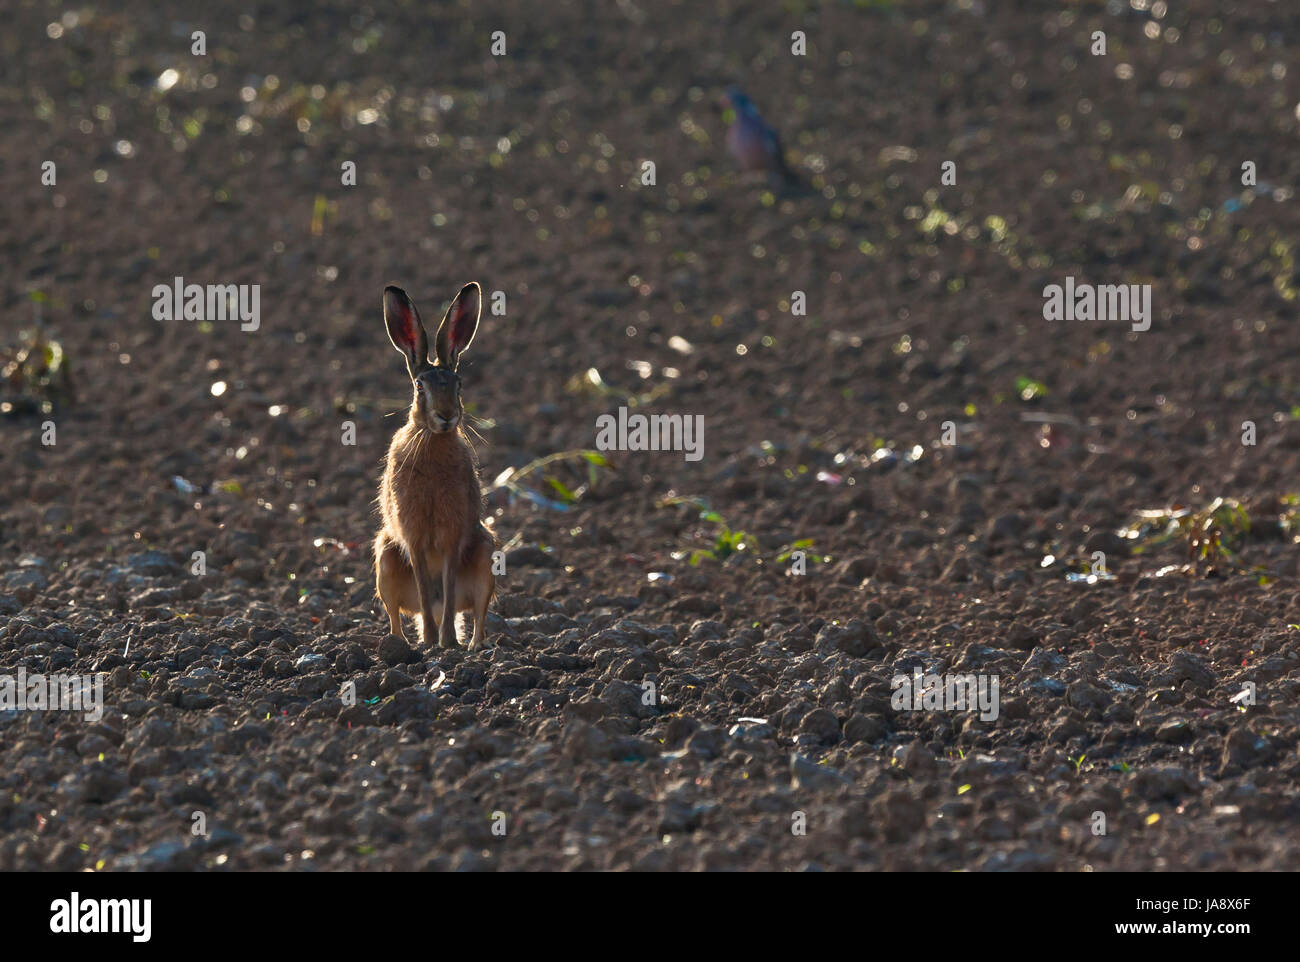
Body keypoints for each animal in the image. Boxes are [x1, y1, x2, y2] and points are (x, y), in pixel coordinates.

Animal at [374, 282, 496, 650]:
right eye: (419, 387)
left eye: (459, 385)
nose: (446, 416)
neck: (432, 438)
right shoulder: (412, 533)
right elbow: (424, 587)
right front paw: (430, 640)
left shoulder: (453, 533)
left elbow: (449, 580)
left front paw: (446, 642)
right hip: (385, 558)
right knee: (396, 613)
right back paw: (401, 645)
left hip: (485, 556)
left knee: (476, 611)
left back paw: (472, 646)